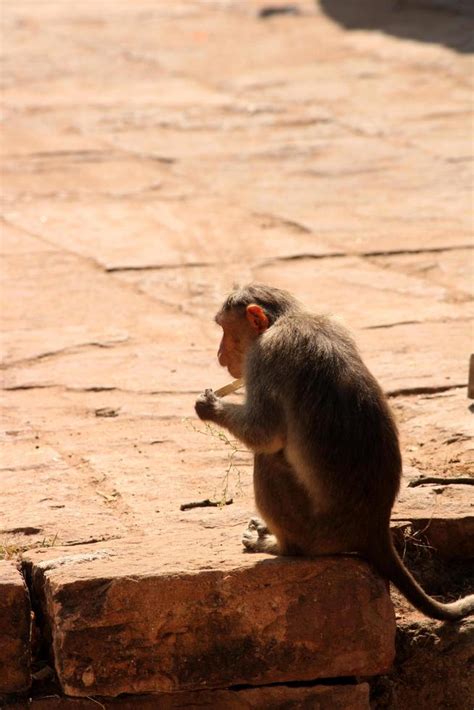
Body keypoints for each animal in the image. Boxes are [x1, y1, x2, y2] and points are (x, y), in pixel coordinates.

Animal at [195, 283, 474, 622]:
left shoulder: (265, 356)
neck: (286, 319)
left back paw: (282, 546)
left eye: (226, 330)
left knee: (269, 461)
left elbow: (265, 434)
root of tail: (374, 528)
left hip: (316, 530)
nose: (219, 355)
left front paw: (210, 406)